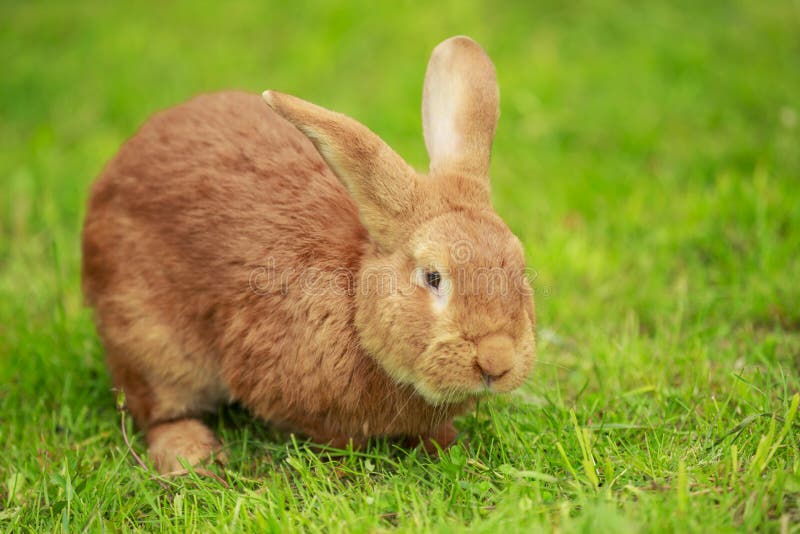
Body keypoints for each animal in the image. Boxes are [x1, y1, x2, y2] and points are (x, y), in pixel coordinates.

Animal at [81, 35, 536, 474]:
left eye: (520, 270)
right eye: (433, 277)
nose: (496, 361)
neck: (354, 302)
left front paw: (450, 444)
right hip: (149, 340)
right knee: (157, 411)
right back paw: (192, 458)